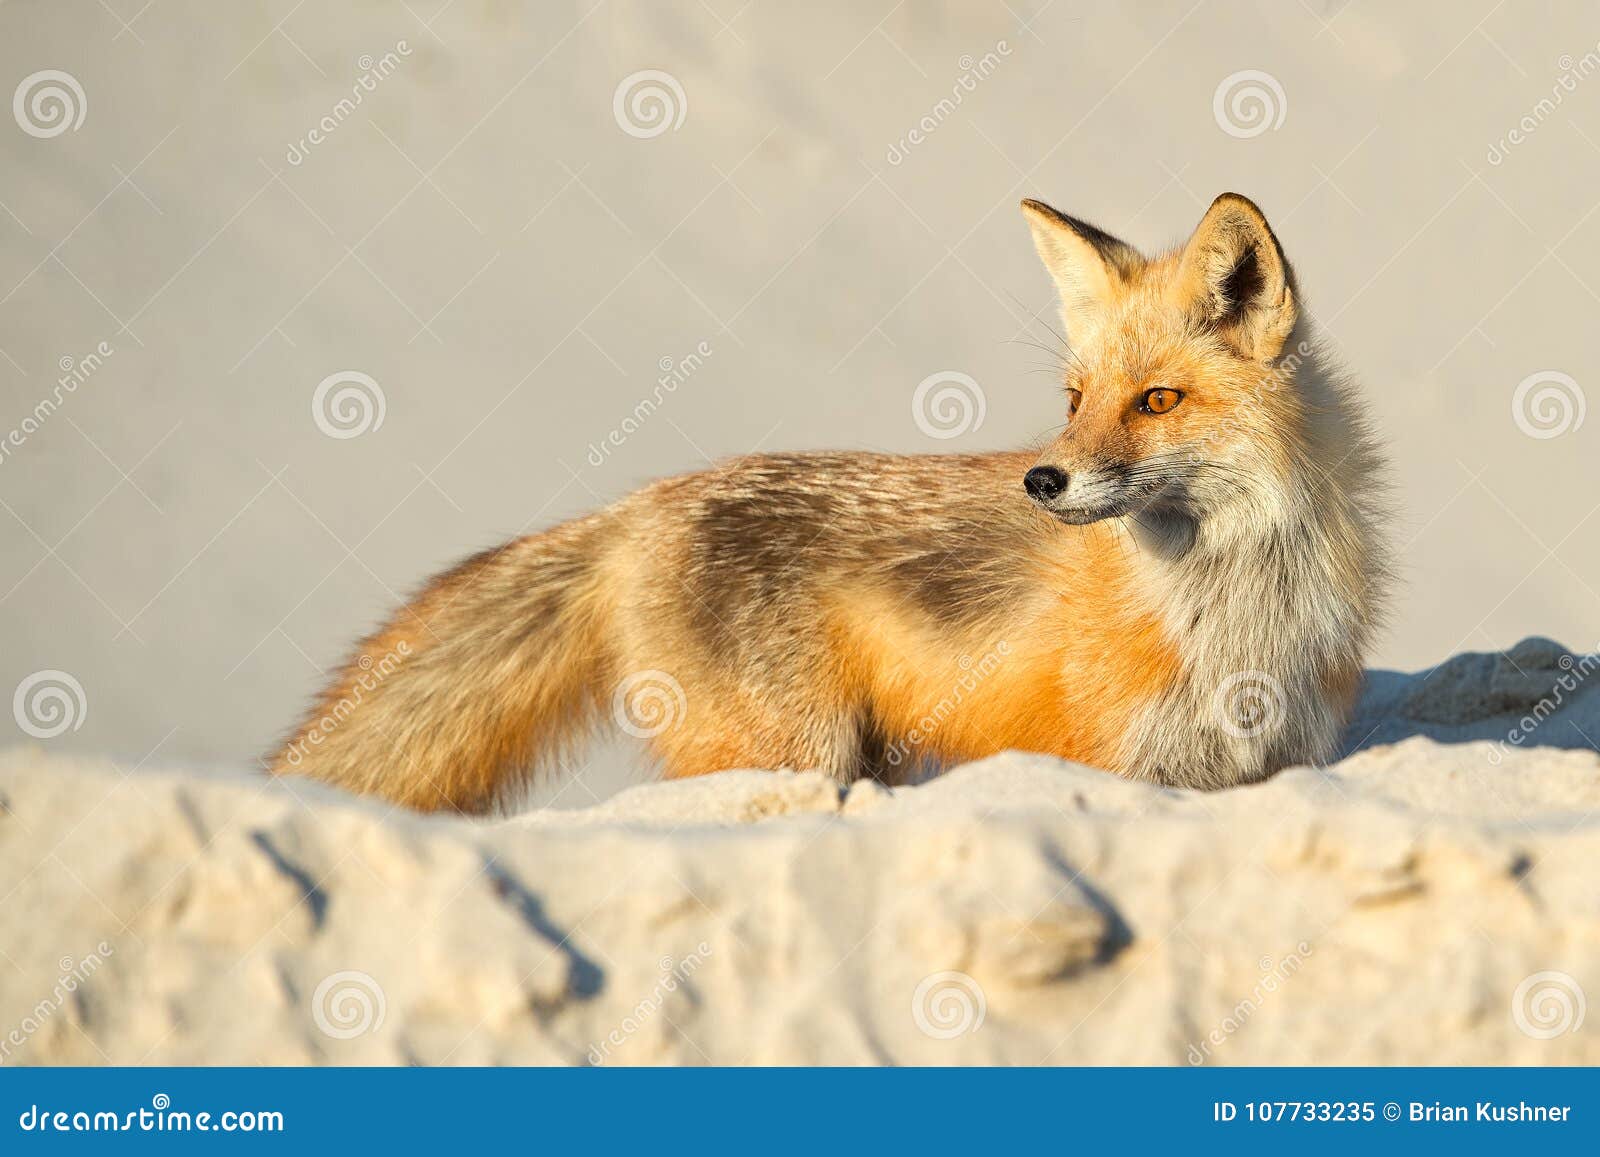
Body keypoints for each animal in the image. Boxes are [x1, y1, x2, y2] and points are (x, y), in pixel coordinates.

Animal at [271, 192, 1389, 813]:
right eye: (1074, 402)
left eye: (1156, 400)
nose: (1043, 479)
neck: (1233, 614)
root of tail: (639, 504)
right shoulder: (1119, 765)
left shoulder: (1270, 769)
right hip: (795, 754)